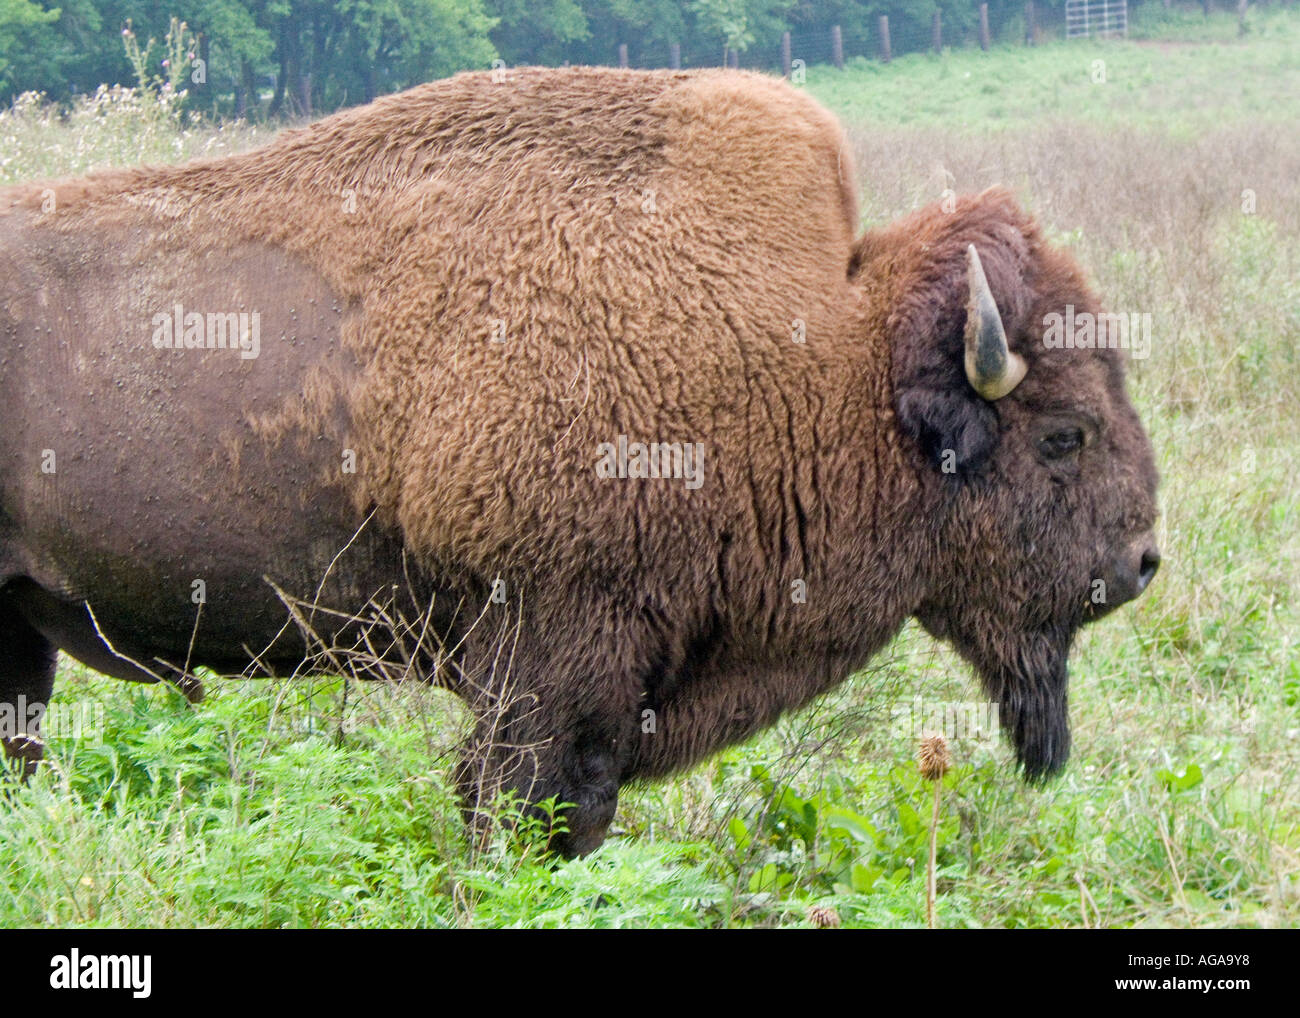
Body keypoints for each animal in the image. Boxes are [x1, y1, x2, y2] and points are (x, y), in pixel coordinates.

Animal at [0, 67, 1159, 855]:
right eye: (1063, 433)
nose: (1142, 562)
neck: (821, 357)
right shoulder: (552, 657)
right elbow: (514, 809)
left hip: (17, 631)